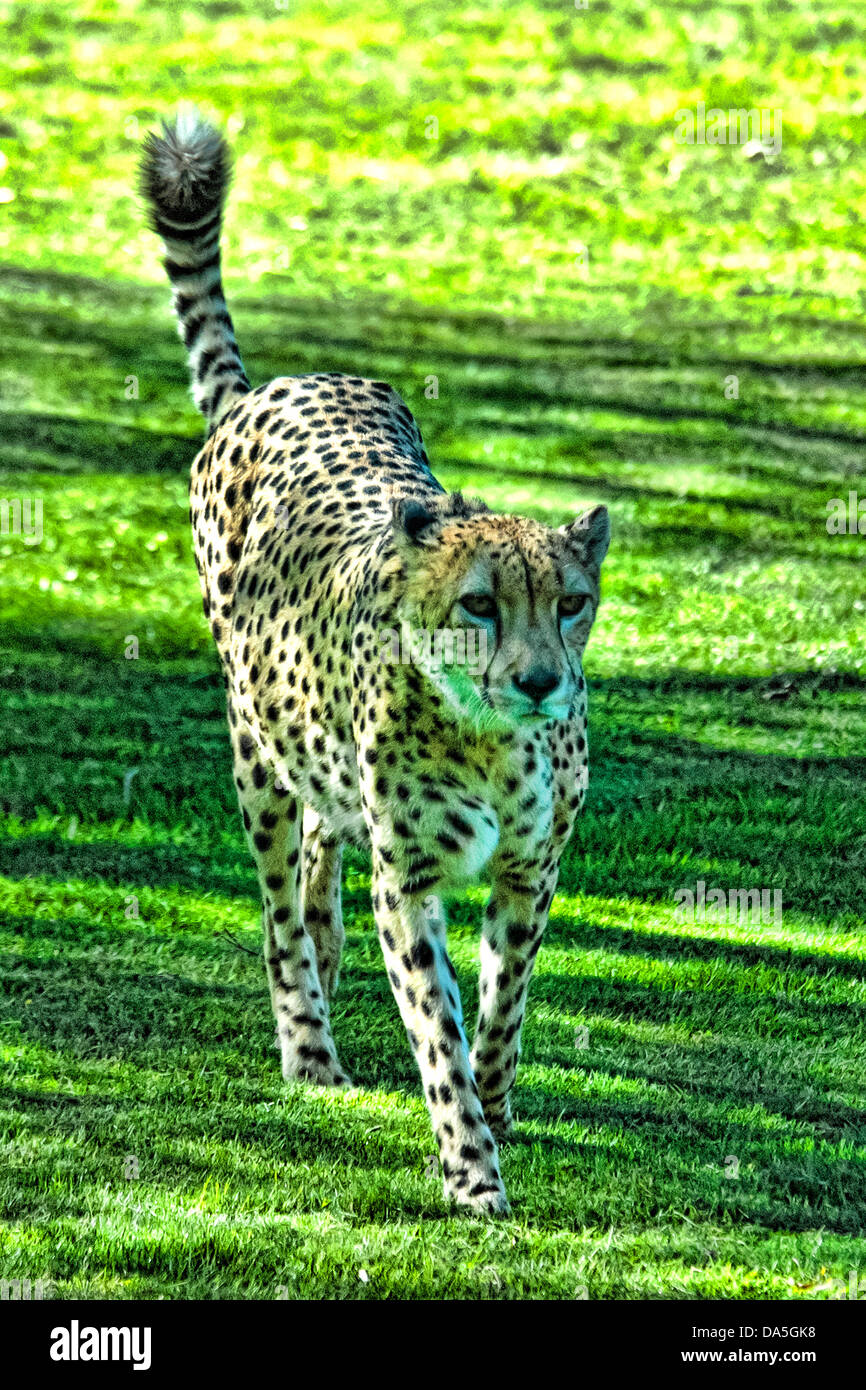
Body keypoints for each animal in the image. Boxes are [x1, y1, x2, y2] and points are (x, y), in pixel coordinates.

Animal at [139, 112, 610, 1215]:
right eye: (479, 604)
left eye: (568, 603)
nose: (538, 681)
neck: (493, 743)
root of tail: (272, 388)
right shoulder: (412, 882)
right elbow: (437, 1032)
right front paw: (472, 1175)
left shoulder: (530, 871)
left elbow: (500, 1009)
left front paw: (496, 1110)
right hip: (254, 756)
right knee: (279, 909)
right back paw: (310, 1049)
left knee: (321, 847)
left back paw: (328, 941)